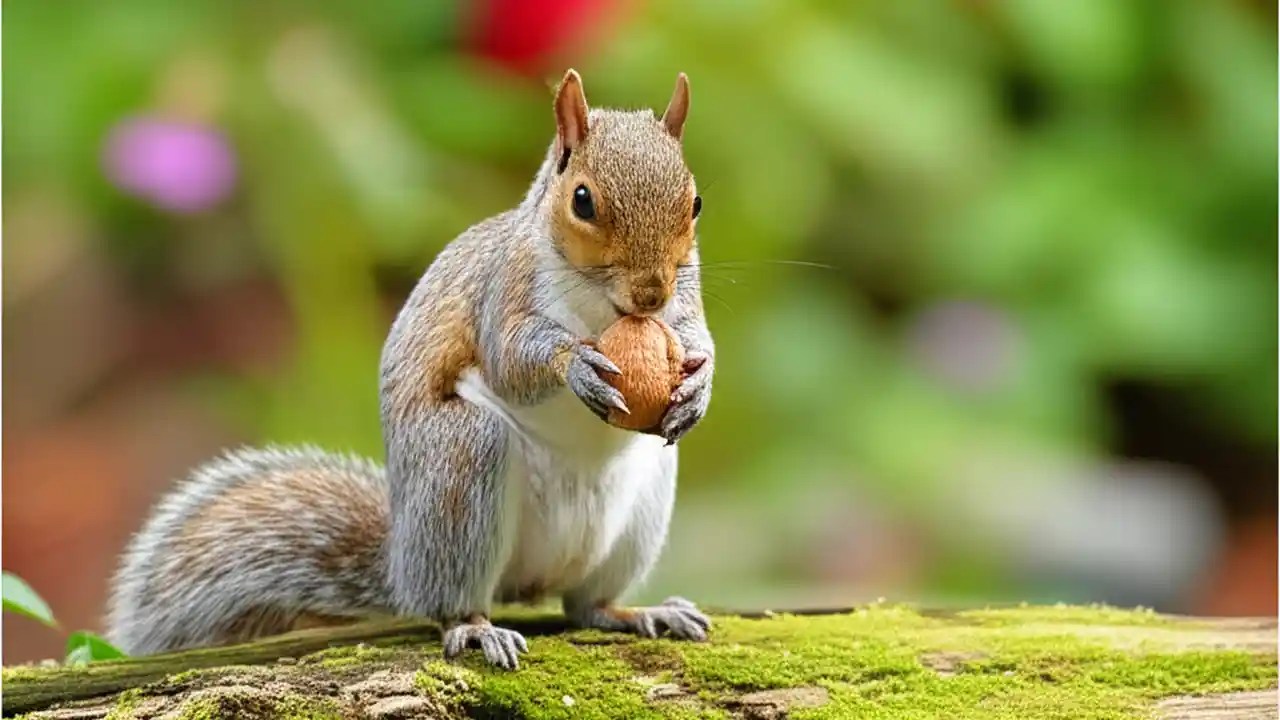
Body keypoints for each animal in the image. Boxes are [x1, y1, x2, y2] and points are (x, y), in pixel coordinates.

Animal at [105, 69, 715, 670]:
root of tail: (404, 564)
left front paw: (699, 385)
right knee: (450, 602)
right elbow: (512, 359)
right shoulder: (504, 289)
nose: (651, 294)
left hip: (641, 504)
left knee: (586, 605)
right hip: (461, 465)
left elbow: (697, 339)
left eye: (696, 202)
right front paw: (578, 365)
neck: (602, 305)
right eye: (583, 201)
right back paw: (476, 628)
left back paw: (638, 612)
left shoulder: (685, 301)